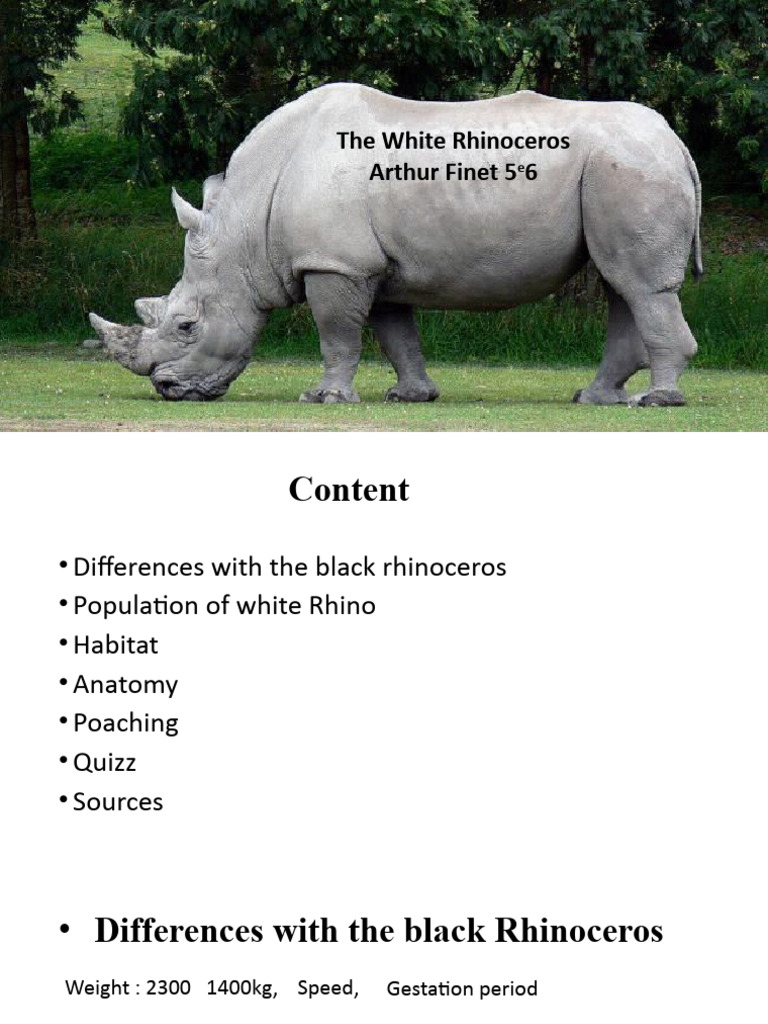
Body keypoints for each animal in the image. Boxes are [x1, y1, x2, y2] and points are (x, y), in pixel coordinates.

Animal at [90, 83, 703, 406]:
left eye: (186, 325)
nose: (167, 389)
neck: (245, 225)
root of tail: (676, 141)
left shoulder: (335, 263)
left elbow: (336, 334)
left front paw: (324, 398)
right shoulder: (373, 266)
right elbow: (394, 334)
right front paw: (411, 397)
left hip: (629, 169)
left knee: (640, 287)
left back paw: (657, 402)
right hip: (622, 169)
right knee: (623, 285)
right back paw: (593, 399)